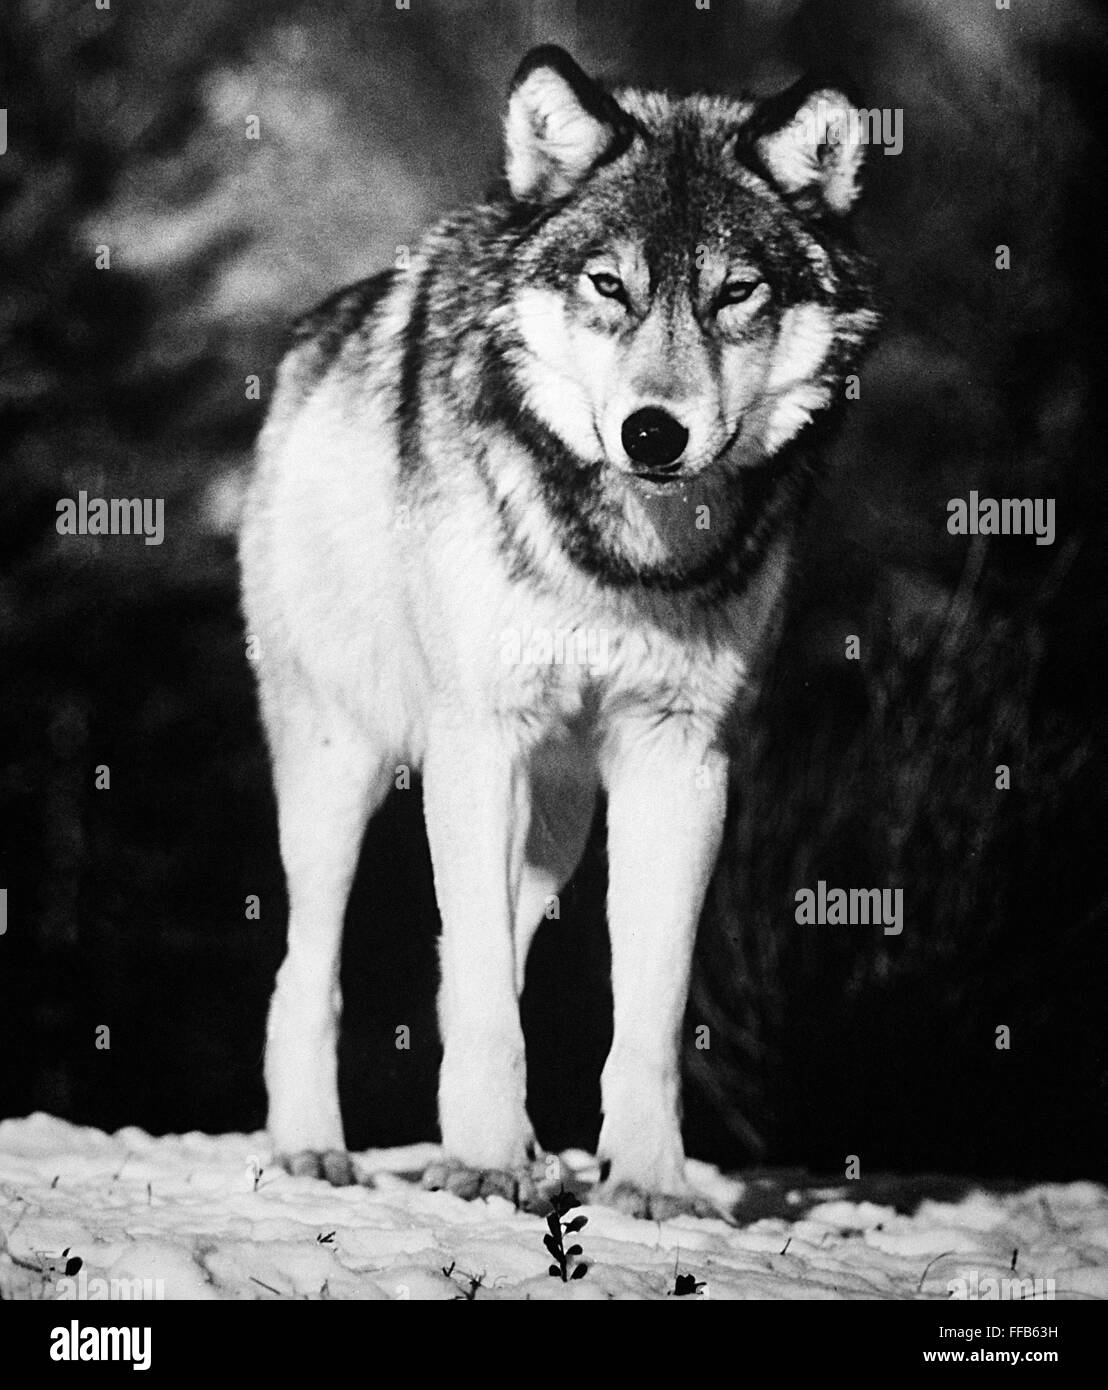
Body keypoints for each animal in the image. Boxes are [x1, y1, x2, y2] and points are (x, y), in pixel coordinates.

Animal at [239, 45, 879, 1218]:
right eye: (609, 285)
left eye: (736, 292)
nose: (653, 432)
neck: (626, 556)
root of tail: (311, 330)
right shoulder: (476, 736)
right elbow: (486, 1002)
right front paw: (487, 1164)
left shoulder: (682, 757)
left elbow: (648, 1013)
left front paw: (653, 1183)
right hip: (340, 763)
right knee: (310, 965)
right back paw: (313, 1149)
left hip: (558, 819)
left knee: (480, 949)